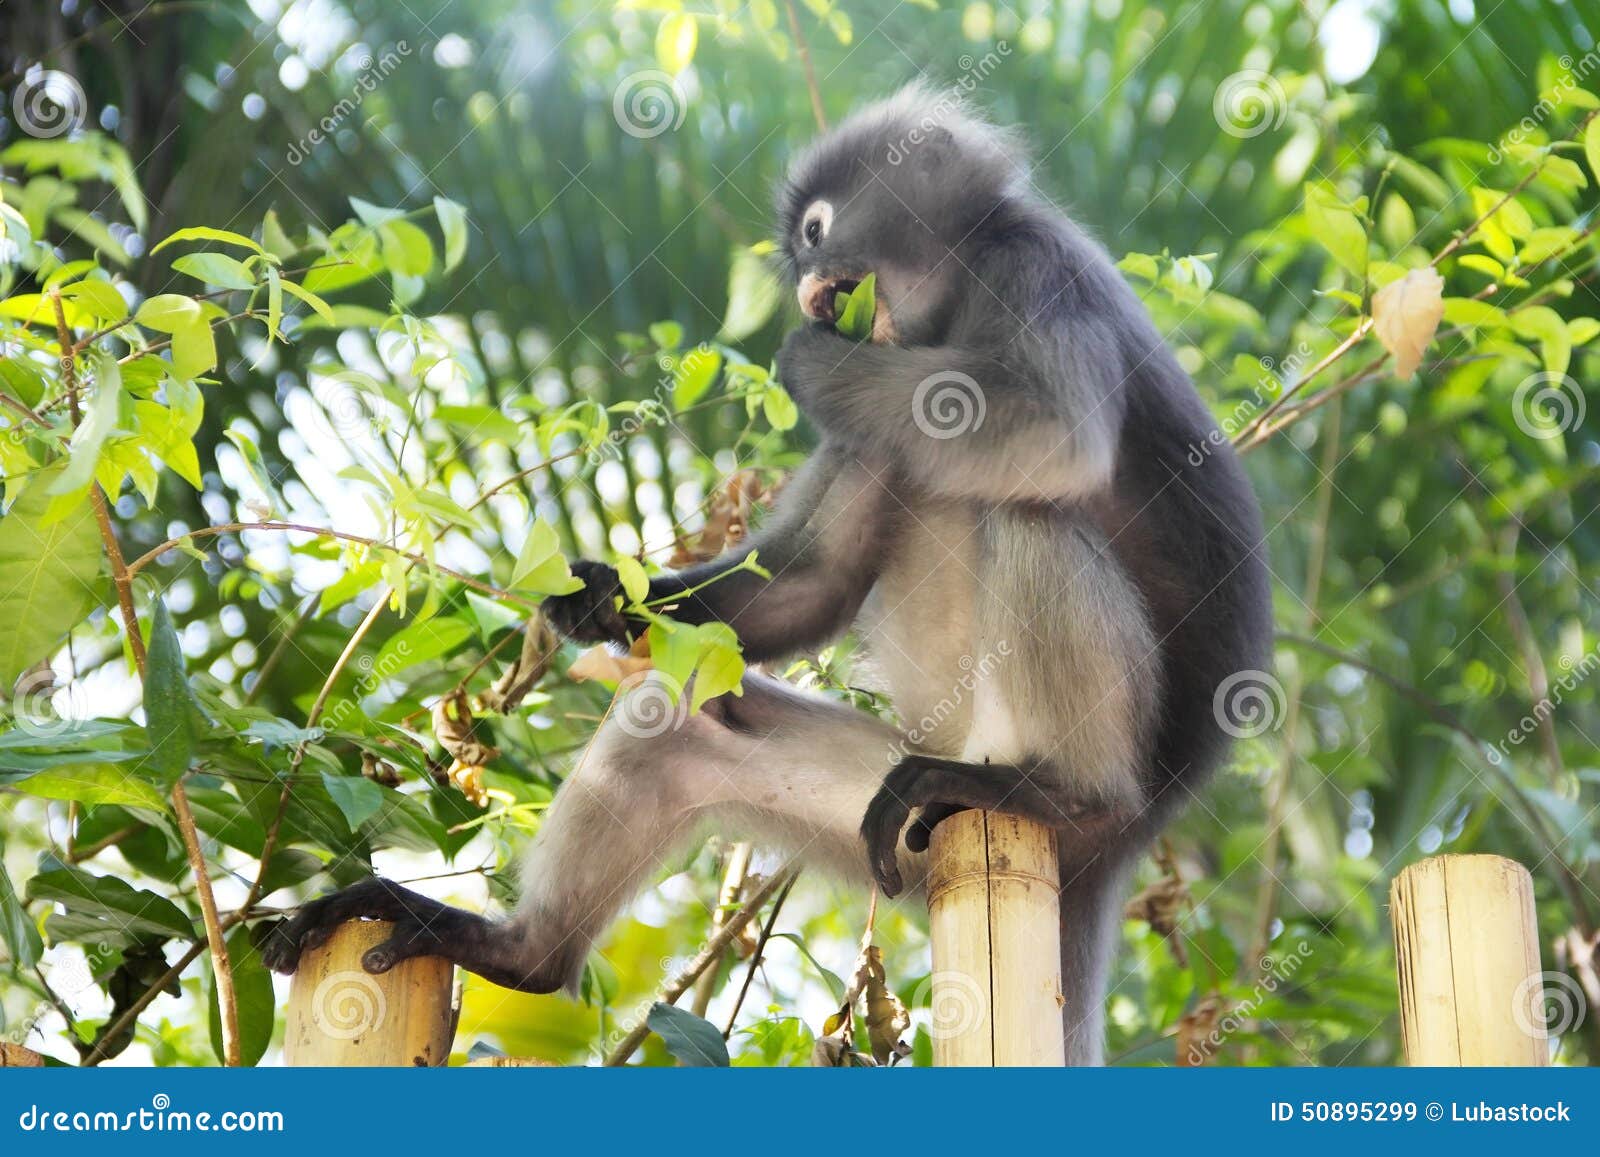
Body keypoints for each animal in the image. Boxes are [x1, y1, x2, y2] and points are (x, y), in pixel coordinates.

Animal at [261, 85, 1272, 1066]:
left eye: (817, 231)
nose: (806, 289)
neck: (944, 315)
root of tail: (1137, 828)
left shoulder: (1036, 273)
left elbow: (1053, 437)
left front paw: (811, 357)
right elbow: (814, 581)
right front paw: (602, 599)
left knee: (1030, 509)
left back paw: (1063, 789)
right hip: (898, 820)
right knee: (668, 733)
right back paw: (512, 949)